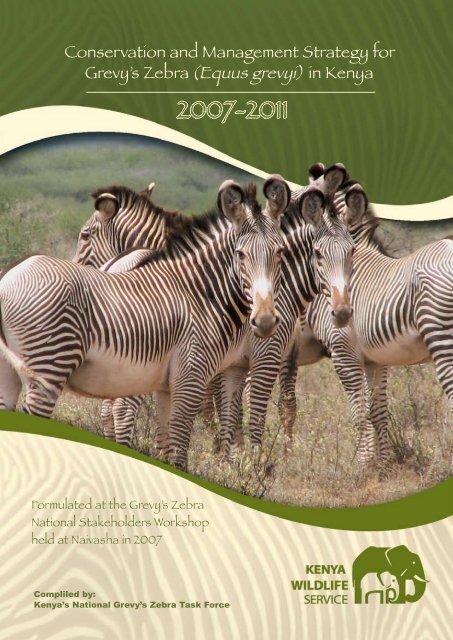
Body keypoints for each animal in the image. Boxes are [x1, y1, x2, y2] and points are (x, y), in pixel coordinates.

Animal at [0, 177, 291, 469]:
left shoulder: (167, 387)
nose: (266, 321)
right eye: (241, 254)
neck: (200, 291)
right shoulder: (191, 378)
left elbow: (167, 444)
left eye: (280, 252)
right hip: (48, 367)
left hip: (10, 373)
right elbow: (180, 449)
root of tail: (9, 274)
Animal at [278, 180, 453, 466]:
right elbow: (376, 411)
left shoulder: (343, 353)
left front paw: (361, 464)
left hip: (442, 339)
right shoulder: (374, 359)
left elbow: (359, 412)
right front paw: (381, 464)